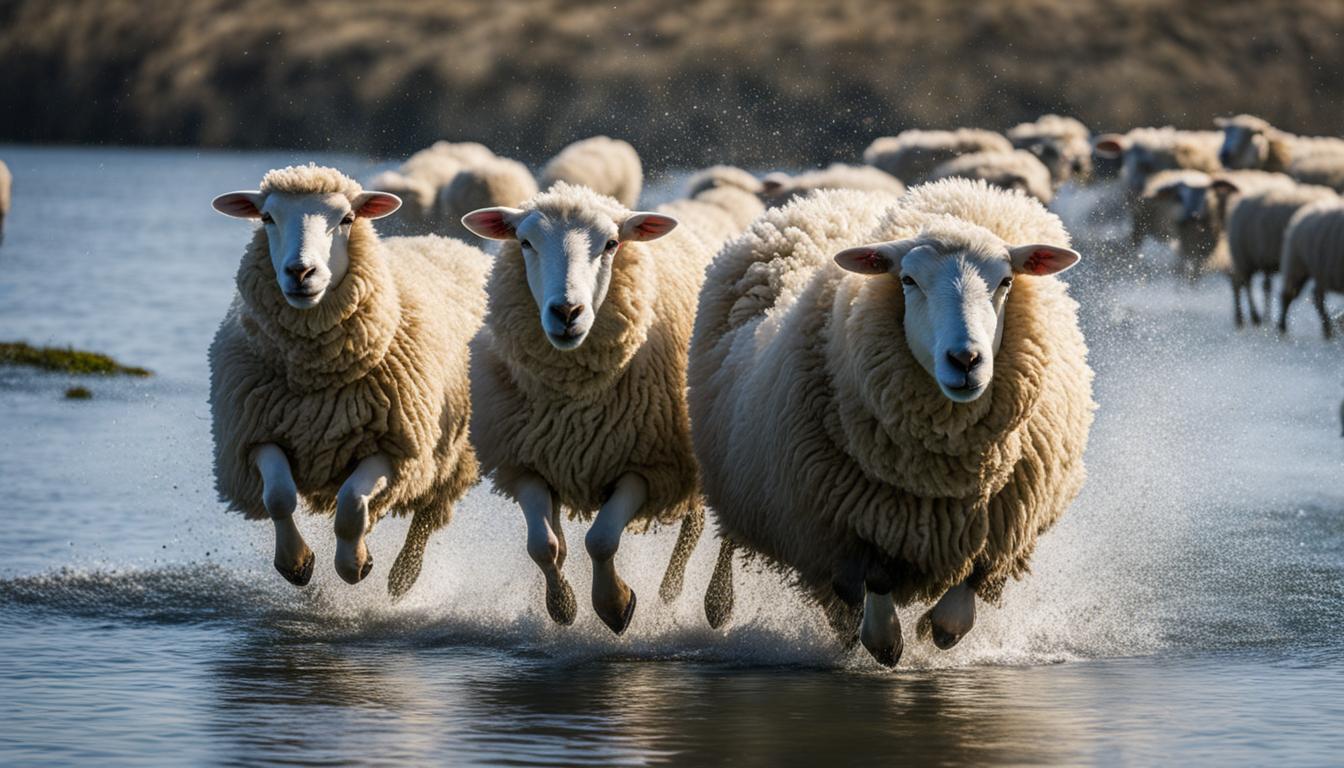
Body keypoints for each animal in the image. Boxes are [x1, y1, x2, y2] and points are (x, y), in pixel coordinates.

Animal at [209, 164, 488, 598]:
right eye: (267, 218)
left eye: (347, 218)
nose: (301, 272)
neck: (316, 375)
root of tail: (447, 241)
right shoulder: (253, 435)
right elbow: (278, 496)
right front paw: (297, 564)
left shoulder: (397, 448)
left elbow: (353, 504)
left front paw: (354, 564)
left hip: (451, 455)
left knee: (427, 515)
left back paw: (402, 575)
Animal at [462, 181, 750, 634]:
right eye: (525, 242)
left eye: (612, 244)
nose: (567, 312)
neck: (575, 402)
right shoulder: (525, 463)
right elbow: (543, 546)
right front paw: (562, 605)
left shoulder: (648, 464)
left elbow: (600, 540)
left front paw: (615, 605)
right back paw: (670, 591)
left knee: (715, 527)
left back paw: (715, 602)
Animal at [689, 180, 1094, 666]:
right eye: (908, 280)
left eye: (1006, 280)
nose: (965, 360)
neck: (942, 477)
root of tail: (828, 199)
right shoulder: (848, 527)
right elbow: (875, 584)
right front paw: (886, 641)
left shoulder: (995, 529)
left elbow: (958, 606)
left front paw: (932, 631)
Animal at [1223, 180, 1338, 327]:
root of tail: (1239, 202)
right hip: (1245, 256)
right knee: (1244, 284)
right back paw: (1252, 317)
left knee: (1246, 284)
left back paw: (1253, 317)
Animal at [1279, 198, 1344, 338]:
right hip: (1296, 264)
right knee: (1288, 295)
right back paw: (1282, 328)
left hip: (1320, 271)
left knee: (1317, 297)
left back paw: (1328, 329)